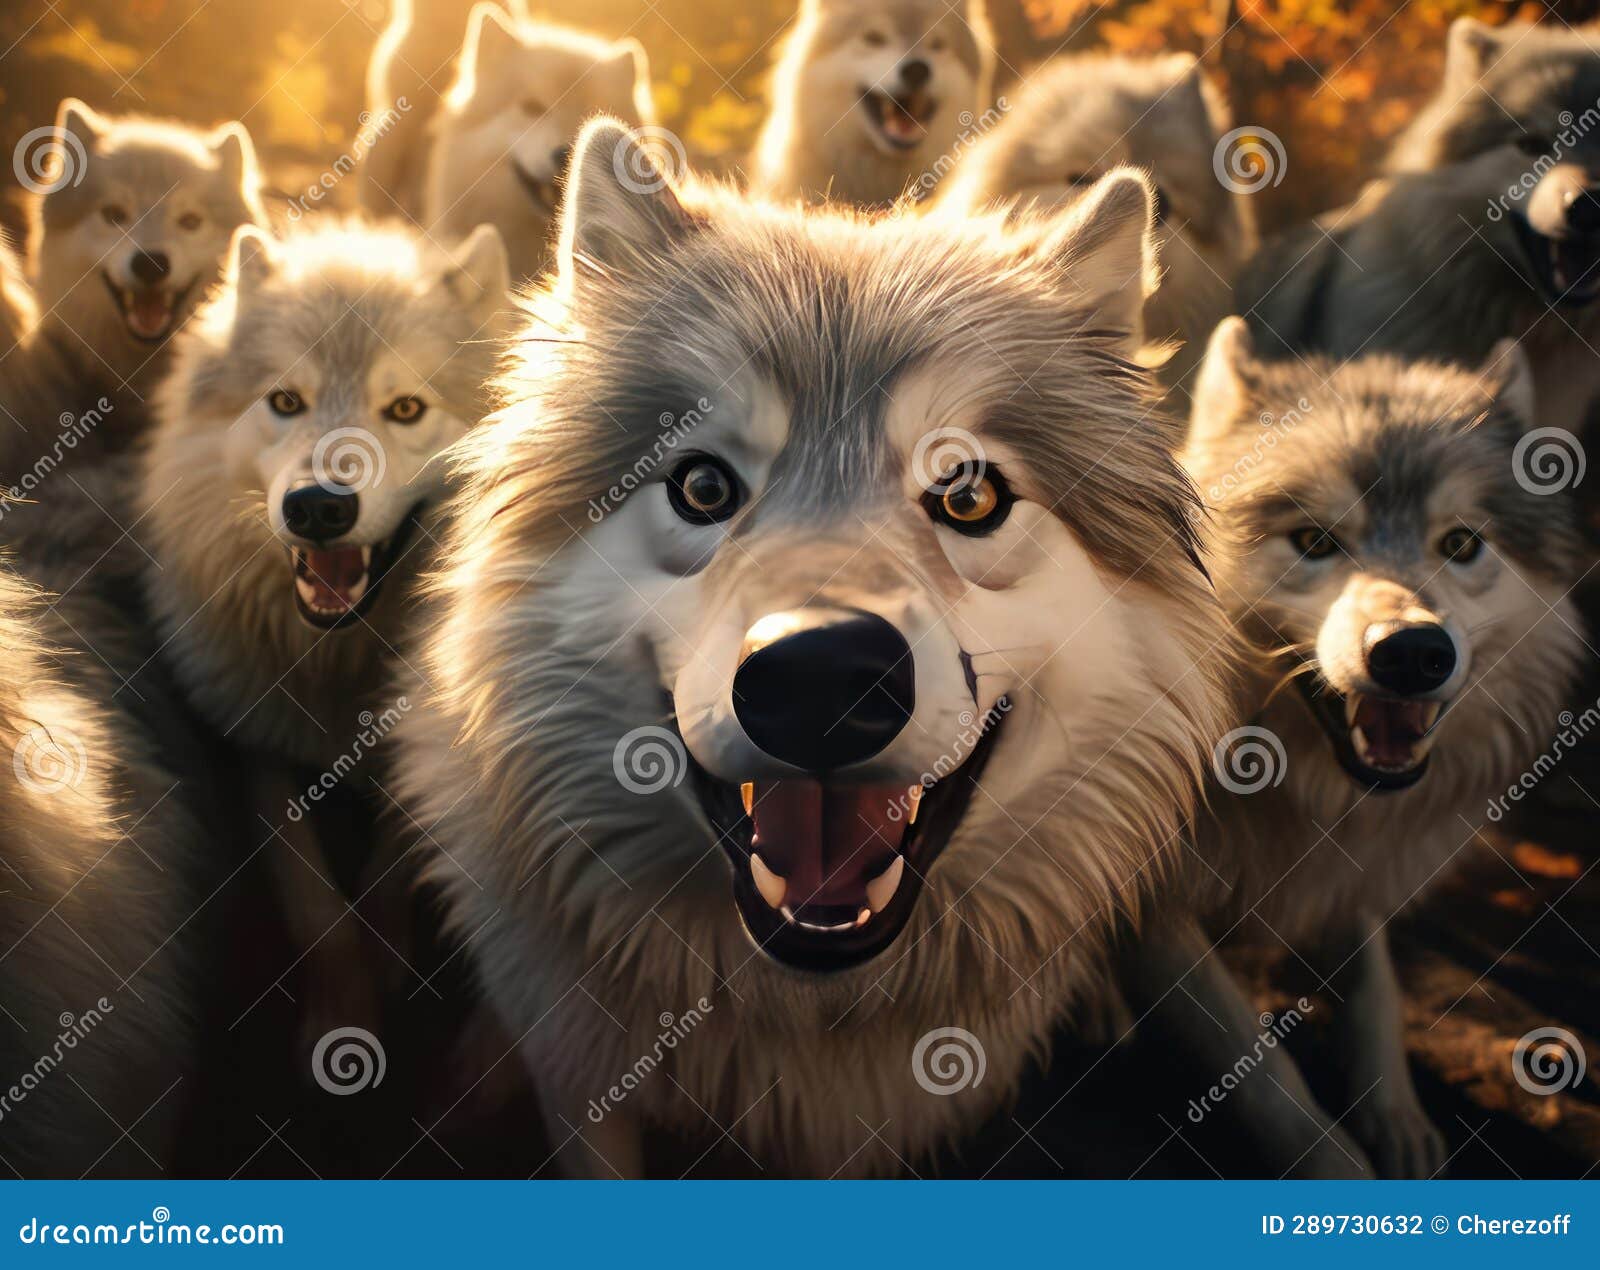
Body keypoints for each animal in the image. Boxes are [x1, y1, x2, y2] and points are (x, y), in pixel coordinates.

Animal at [141, 219, 509, 1051]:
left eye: (405, 408)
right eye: (286, 400)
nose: (317, 507)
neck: (337, 660)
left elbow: (388, 865)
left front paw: (386, 952)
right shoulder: (256, 744)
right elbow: (310, 899)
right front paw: (342, 1016)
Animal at [1123, 318, 1589, 1177]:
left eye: (1460, 543)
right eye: (1313, 539)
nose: (1412, 653)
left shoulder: (1349, 865)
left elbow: (1374, 985)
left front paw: (1394, 1115)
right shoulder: (1145, 915)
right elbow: (1255, 1066)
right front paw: (1338, 1166)